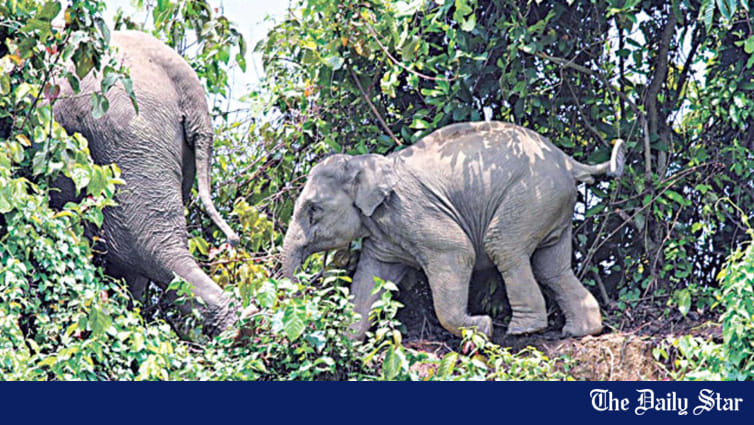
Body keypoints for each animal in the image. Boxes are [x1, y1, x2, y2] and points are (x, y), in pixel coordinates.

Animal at [281, 121, 624, 340]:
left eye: (313, 209)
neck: (366, 163)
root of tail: (569, 162)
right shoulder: (385, 234)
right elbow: (372, 279)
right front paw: (348, 342)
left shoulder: (412, 211)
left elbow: (457, 251)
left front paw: (482, 328)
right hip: (552, 203)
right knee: (552, 266)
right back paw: (580, 331)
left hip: (531, 196)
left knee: (505, 248)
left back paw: (523, 330)